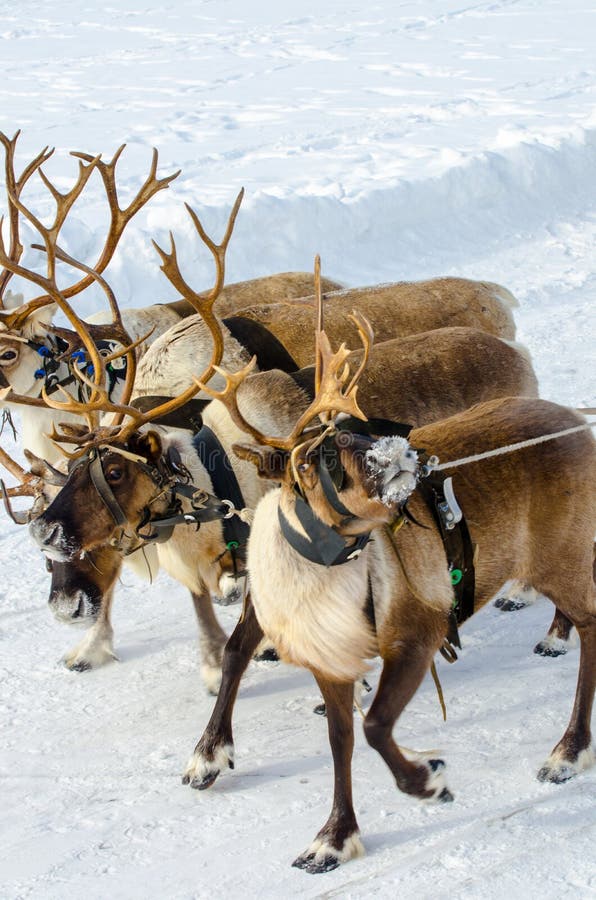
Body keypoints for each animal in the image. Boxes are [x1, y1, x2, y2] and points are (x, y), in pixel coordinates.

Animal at [179, 309, 595, 874]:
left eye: (352, 434)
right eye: (310, 461)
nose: (395, 455)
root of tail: (577, 419)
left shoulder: (417, 636)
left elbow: (375, 726)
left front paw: (429, 780)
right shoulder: (330, 664)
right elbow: (341, 739)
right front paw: (334, 838)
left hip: (563, 559)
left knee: (591, 626)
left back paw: (567, 751)